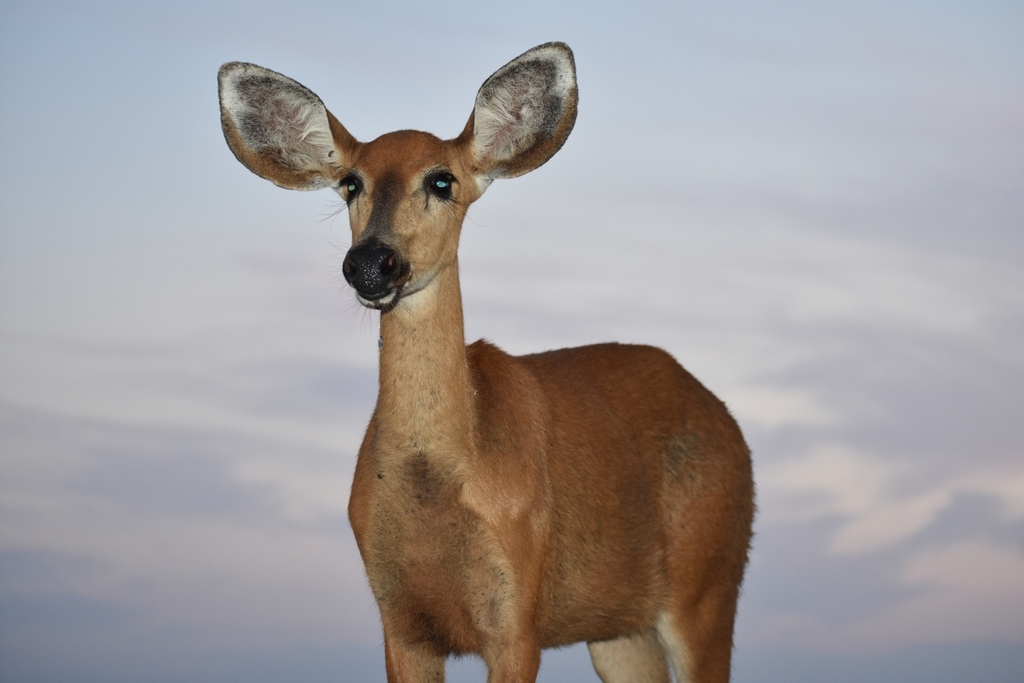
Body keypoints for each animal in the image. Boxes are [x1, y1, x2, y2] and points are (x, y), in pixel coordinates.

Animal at [218, 42, 754, 683]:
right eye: (350, 183)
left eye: (442, 179)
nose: (371, 263)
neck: (435, 488)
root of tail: (725, 420)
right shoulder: (401, 622)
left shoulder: (518, 614)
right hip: (620, 628)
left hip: (709, 580)